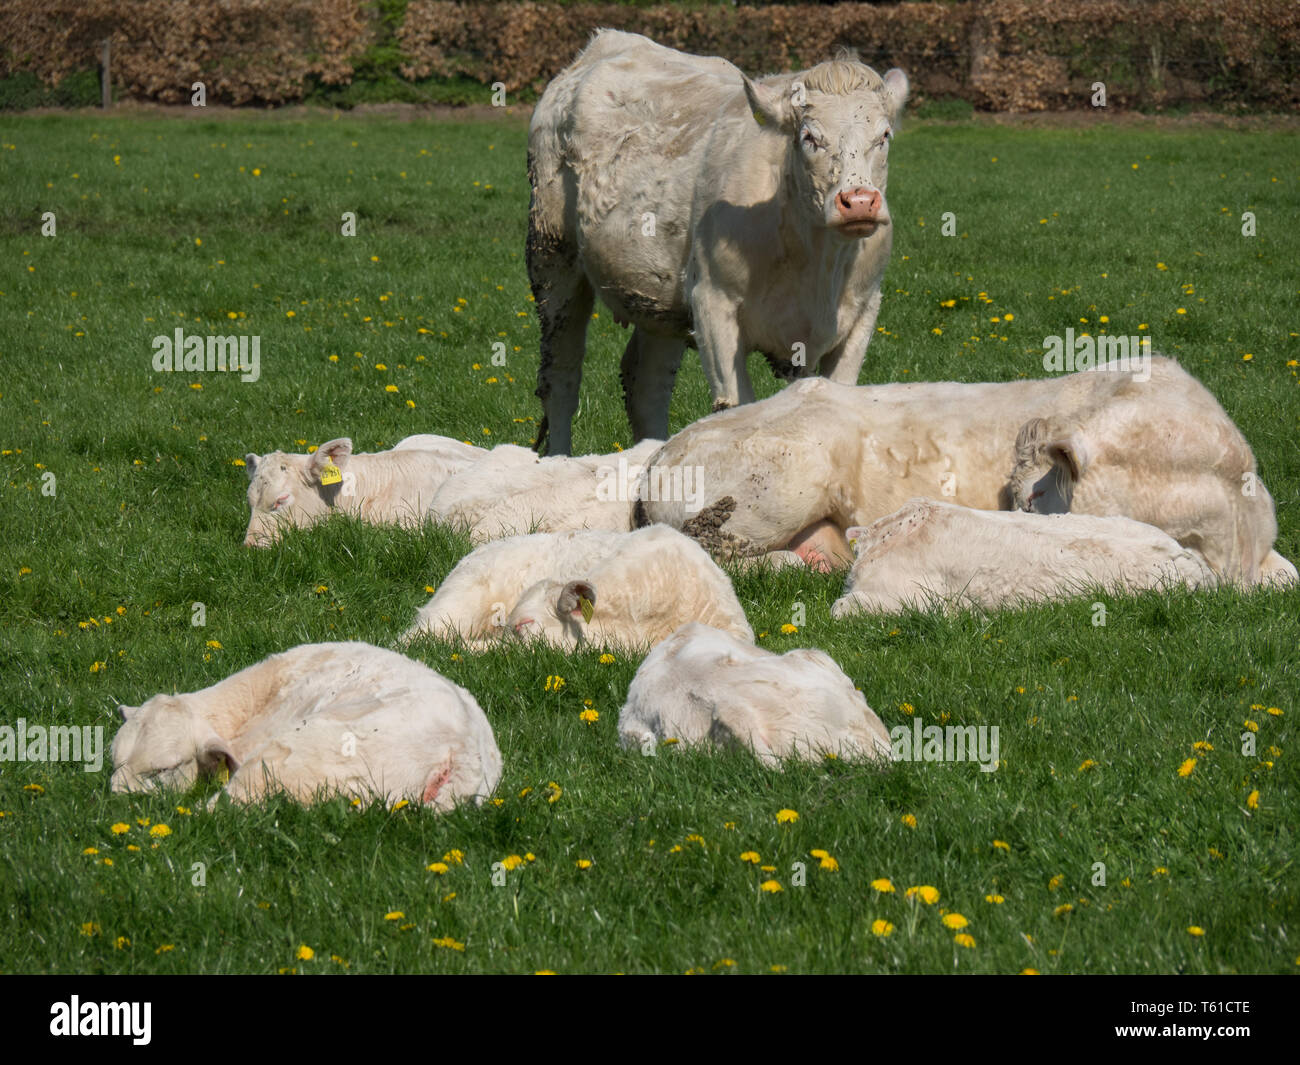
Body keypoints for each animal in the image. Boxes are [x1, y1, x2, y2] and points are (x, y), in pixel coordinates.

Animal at [527, 29, 908, 454]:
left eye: (884, 135)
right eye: (809, 136)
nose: (858, 201)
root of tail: (604, 42)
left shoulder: (864, 308)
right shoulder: (713, 302)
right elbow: (736, 409)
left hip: (661, 295)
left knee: (646, 382)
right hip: (553, 256)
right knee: (561, 376)